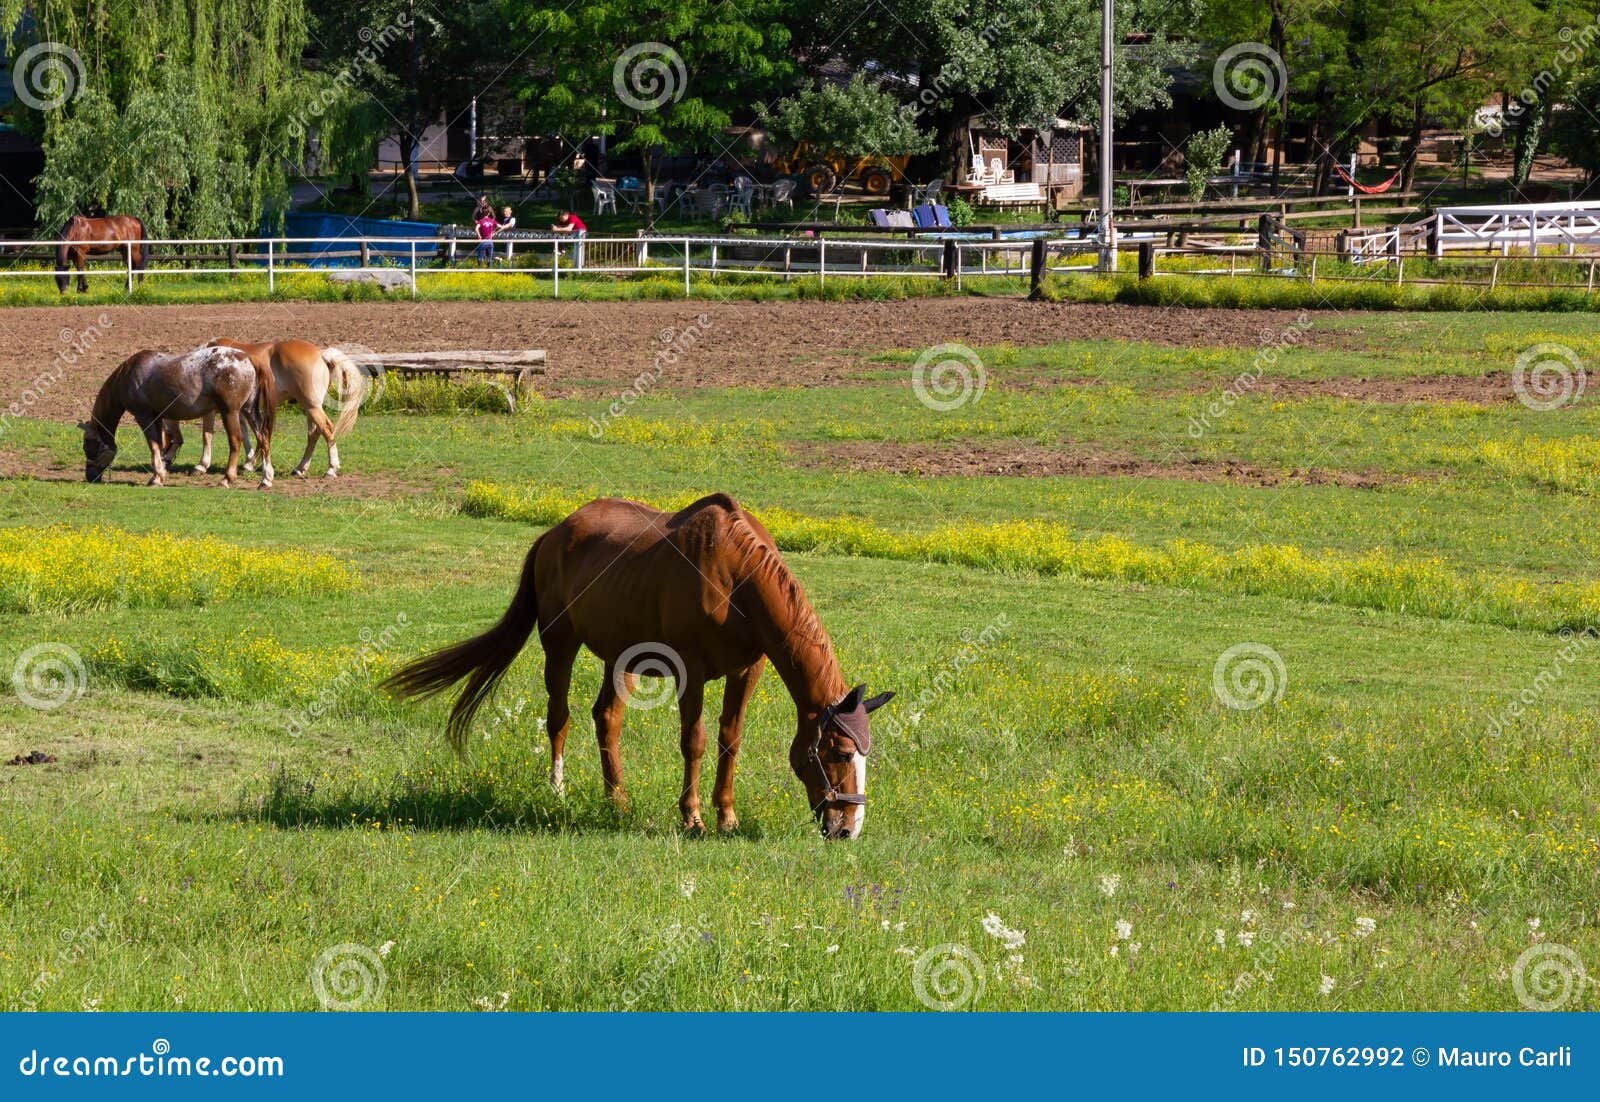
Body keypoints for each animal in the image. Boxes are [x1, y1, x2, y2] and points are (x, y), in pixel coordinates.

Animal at [80, 346, 276, 488]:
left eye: (87, 446)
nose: (90, 477)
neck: (128, 374)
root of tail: (248, 358)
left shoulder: (144, 417)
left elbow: (154, 446)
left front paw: (157, 478)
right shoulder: (158, 418)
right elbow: (161, 446)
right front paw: (160, 474)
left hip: (230, 412)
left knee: (235, 441)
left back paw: (227, 479)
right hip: (249, 411)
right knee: (264, 439)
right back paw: (266, 480)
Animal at [161, 339, 365, 478]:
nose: (163, 460)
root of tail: (321, 354)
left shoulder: (215, 411)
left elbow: (207, 435)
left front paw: (201, 465)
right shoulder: (238, 410)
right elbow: (246, 435)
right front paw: (249, 463)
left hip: (312, 407)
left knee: (328, 430)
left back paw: (331, 469)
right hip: (311, 408)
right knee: (314, 434)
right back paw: (301, 467)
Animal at [383, 493, 893, 839]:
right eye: (840, 753)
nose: (848, 828)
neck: (736, 575)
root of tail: (553, 533)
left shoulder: (747, 670)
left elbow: (730, 739)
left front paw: (727, 816)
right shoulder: (691, 669)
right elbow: (695, 742)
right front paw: (692, 817)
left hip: (621, 659)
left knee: (606, 718)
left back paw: (618, 800)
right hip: (559, 646)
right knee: (559, 717)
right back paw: (558, 790)